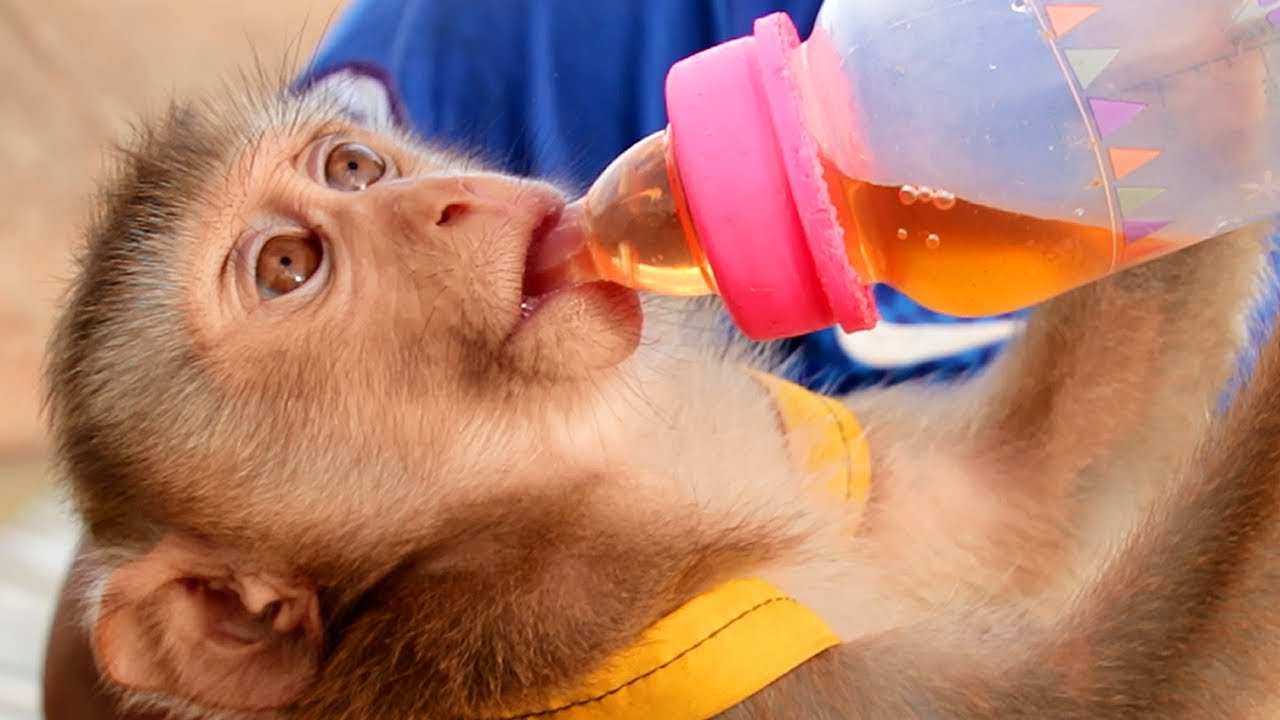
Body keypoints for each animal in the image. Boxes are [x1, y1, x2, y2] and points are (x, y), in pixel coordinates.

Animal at [39, 68, 1280, 720]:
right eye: (289, 266)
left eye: (354, 166)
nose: (448, 203)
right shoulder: (641, 661)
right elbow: (1106, 694)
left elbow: (1030, 484)